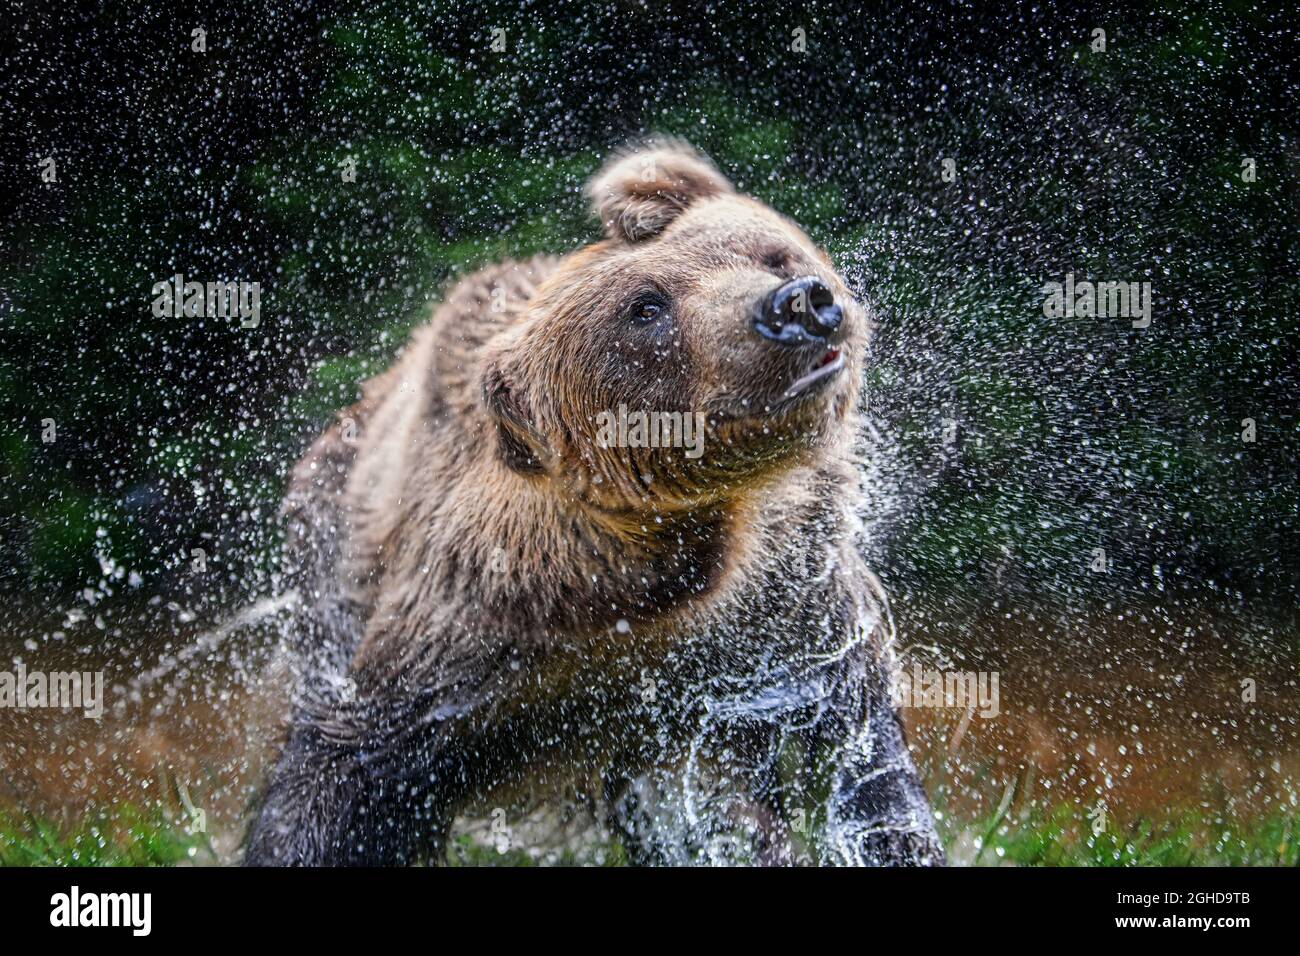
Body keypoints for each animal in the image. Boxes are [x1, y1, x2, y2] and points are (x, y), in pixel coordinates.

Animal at [245, 139, 943, 866]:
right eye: (646, 307)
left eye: (773, 253)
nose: (797, 303)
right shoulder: (469, 633)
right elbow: (342, 770)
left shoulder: (785, 608)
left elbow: (854, 759)